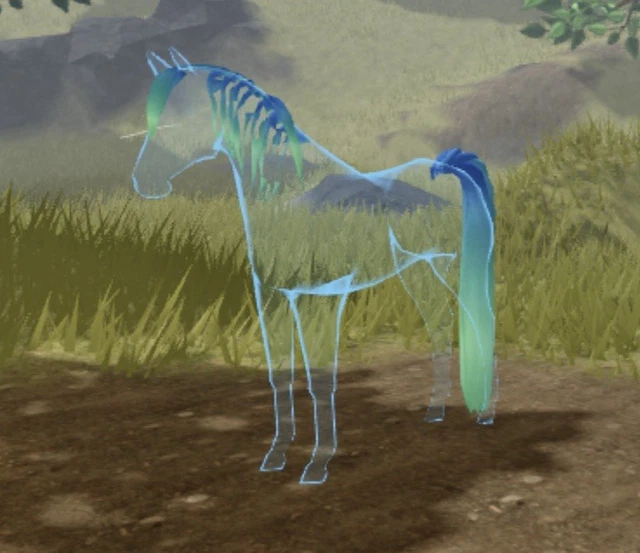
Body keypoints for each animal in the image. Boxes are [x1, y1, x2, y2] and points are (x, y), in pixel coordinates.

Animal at [132, 47, 498, 485]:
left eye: (178, 118)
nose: (144, 183)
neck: (283, 195)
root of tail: (452, 171)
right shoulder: (273, 298)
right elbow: (280, 375)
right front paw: (275, 456)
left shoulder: (319, 299)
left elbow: (320, 379)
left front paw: (317, 464)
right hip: (418, 272)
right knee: (441, 327)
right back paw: (435, 412)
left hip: (452, 268)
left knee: (482, 323)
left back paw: (485, 415)